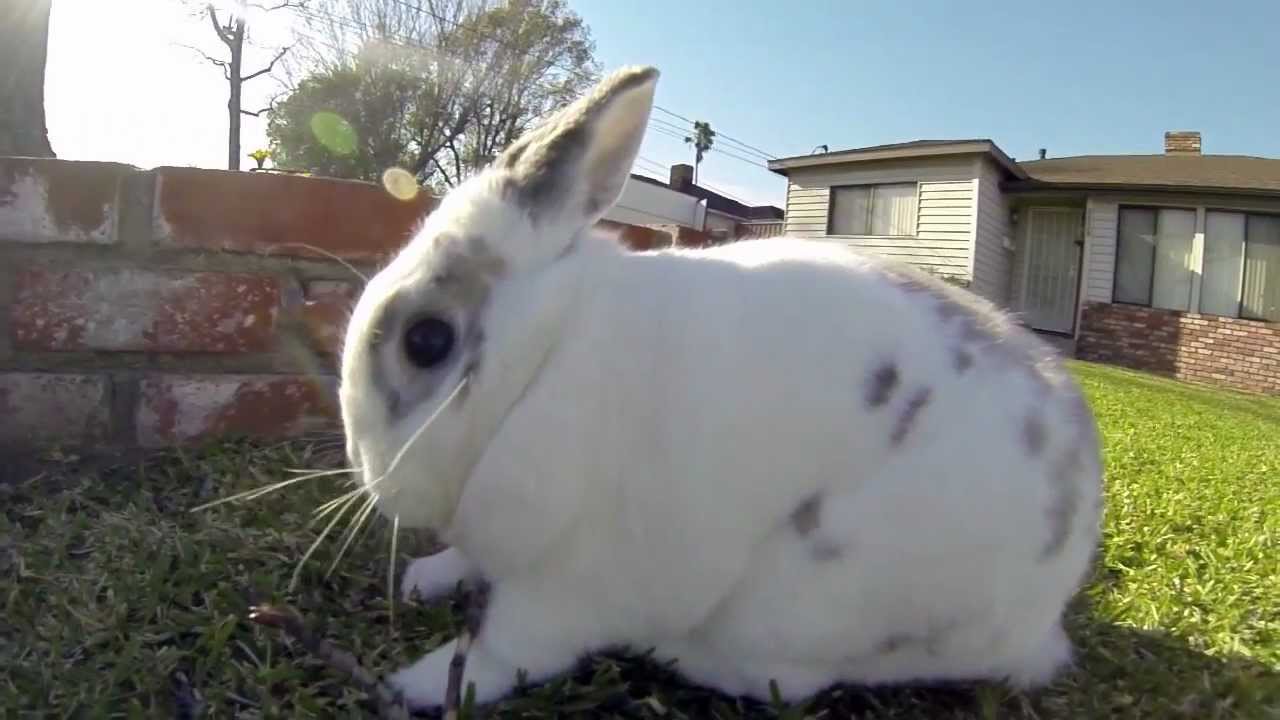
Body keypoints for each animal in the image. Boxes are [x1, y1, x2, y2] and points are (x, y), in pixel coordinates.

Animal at [336, 65, 1104, 711]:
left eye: (426, 340)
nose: (372, 478)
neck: (542, 363)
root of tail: (1040, 623)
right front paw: (426, 576)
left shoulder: (573, 588)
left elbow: (507, 649)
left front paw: (418, 684)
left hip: (810, 604)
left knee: (783, 680)